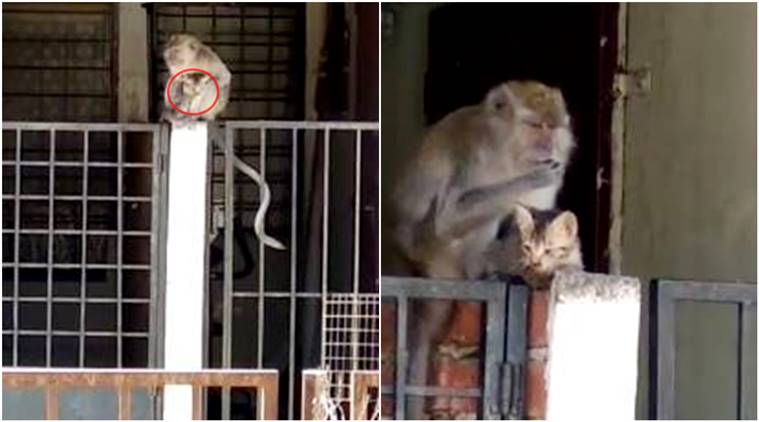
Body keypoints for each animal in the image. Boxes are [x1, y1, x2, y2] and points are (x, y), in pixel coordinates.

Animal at [389, 80, 574, 418]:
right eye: (535, 126)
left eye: (552, 128)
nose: (548, 146)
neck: (508, 153)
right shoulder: (476, 157)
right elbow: (449, 217)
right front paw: (531, 179)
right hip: (433, 249)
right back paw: (482, 274)